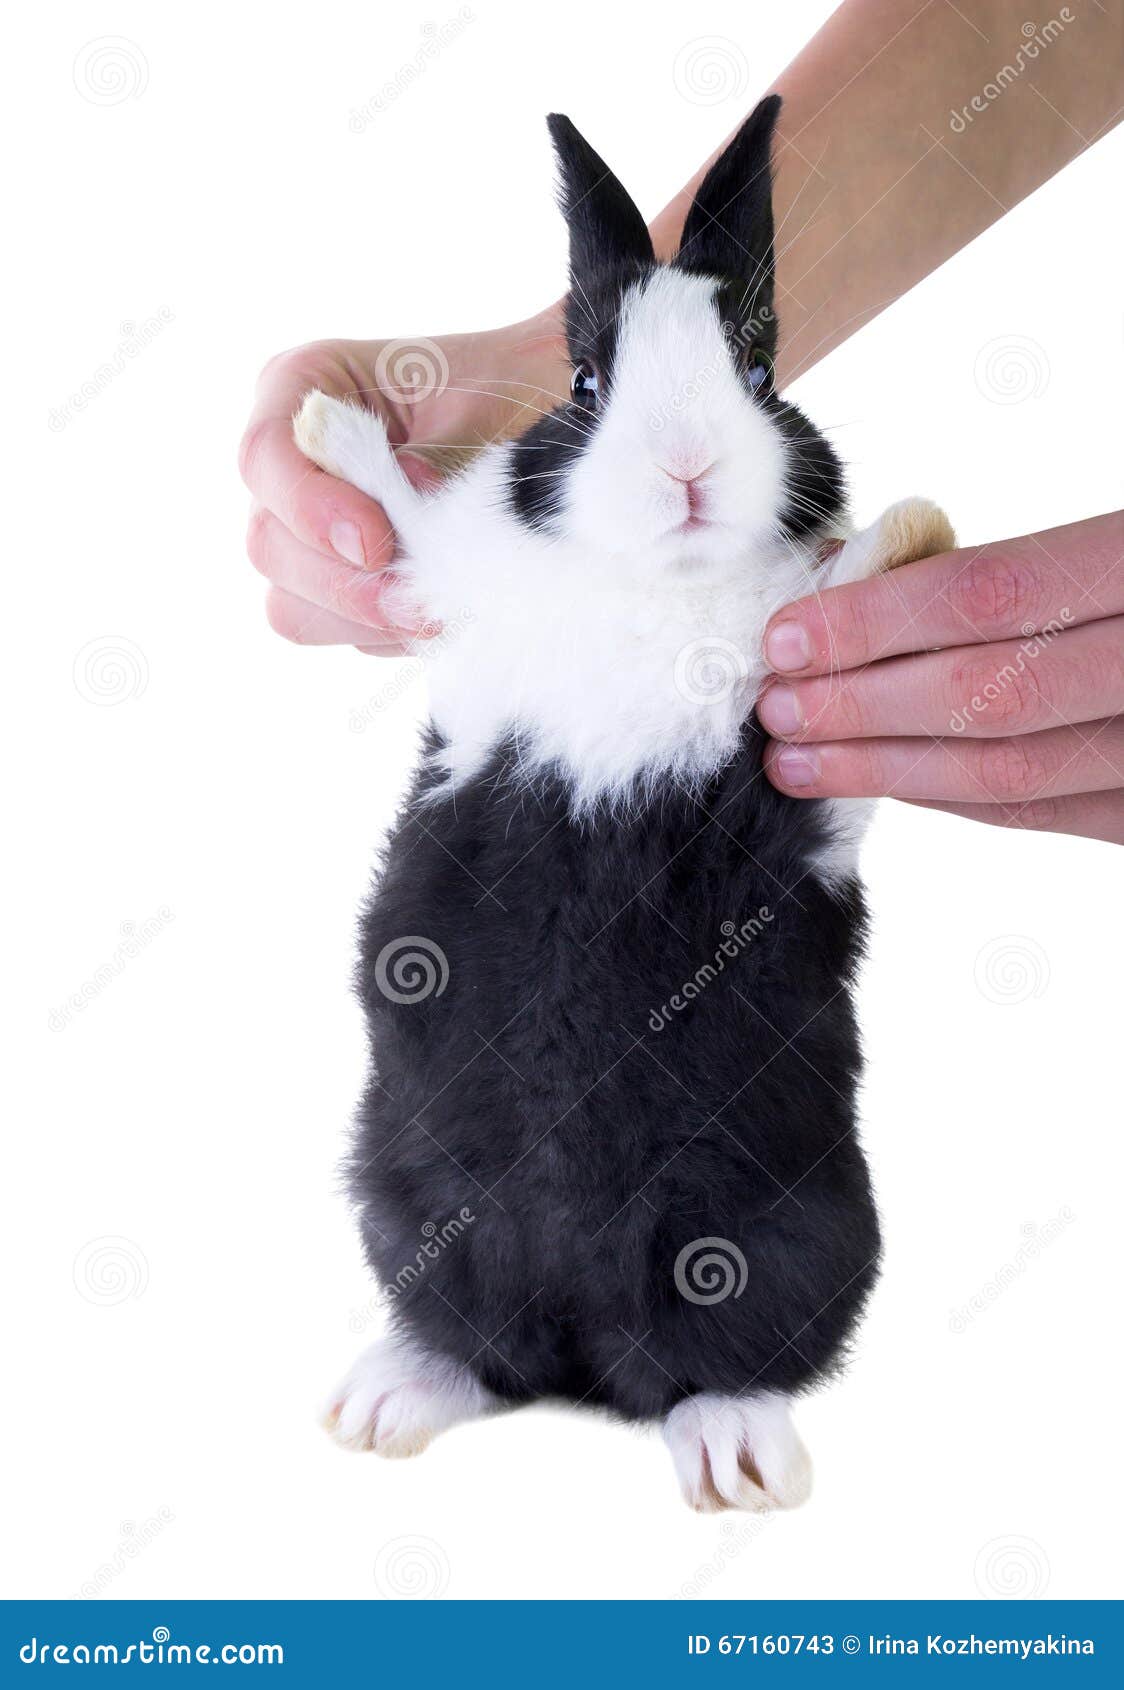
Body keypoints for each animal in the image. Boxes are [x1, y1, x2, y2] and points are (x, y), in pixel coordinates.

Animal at [295, 95, 954, 1512]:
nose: (686, 467)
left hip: (789, 1233)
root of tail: (583, 1340)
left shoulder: (795, 795)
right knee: (481, 1350)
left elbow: (822, 624)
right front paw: (330, 427)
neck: (656, 584)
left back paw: (737, 1453)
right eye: (585, 385)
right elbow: (404, 525)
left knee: (717, 1361)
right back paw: (384, 1401)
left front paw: (913, 532)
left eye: (756, 371)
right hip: (405, 1199)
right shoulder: (465, 613)